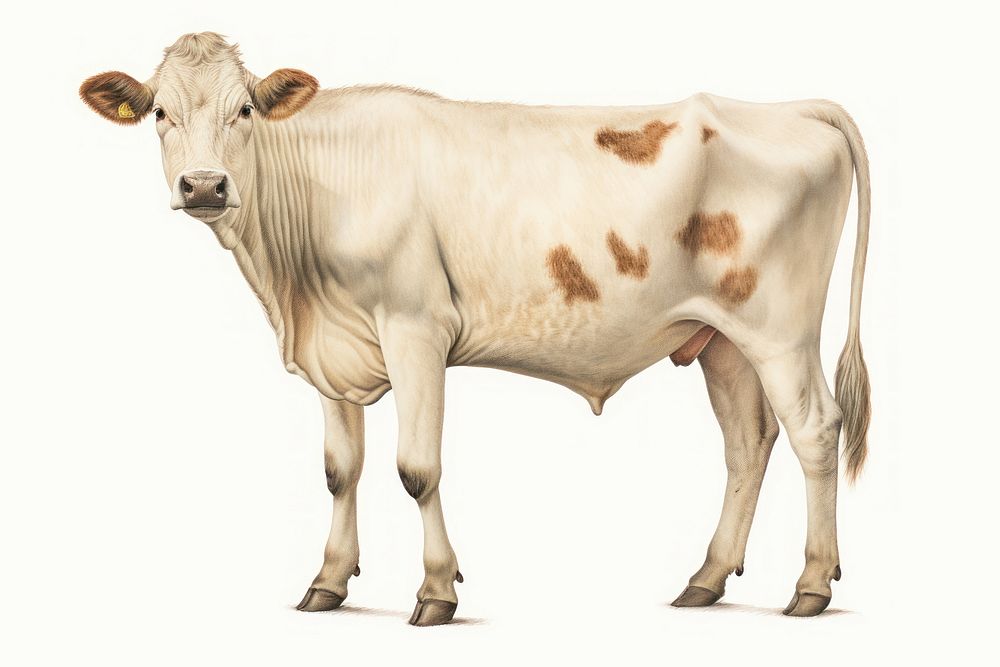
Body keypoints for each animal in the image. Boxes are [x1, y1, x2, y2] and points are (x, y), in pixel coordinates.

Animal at [80, 32, 871, 625]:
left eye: (244, 109)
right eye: (160, 113)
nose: (204, 185)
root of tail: (794, 110)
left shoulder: (416, 329)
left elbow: (416, 468)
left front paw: (435, 592)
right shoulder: (331, 349)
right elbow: (340, 470)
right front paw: (327, 582)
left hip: (780, 329)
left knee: (814, 429)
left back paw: (810, 585)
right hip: (721, 338)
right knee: (748, 443)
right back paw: (705, 578)